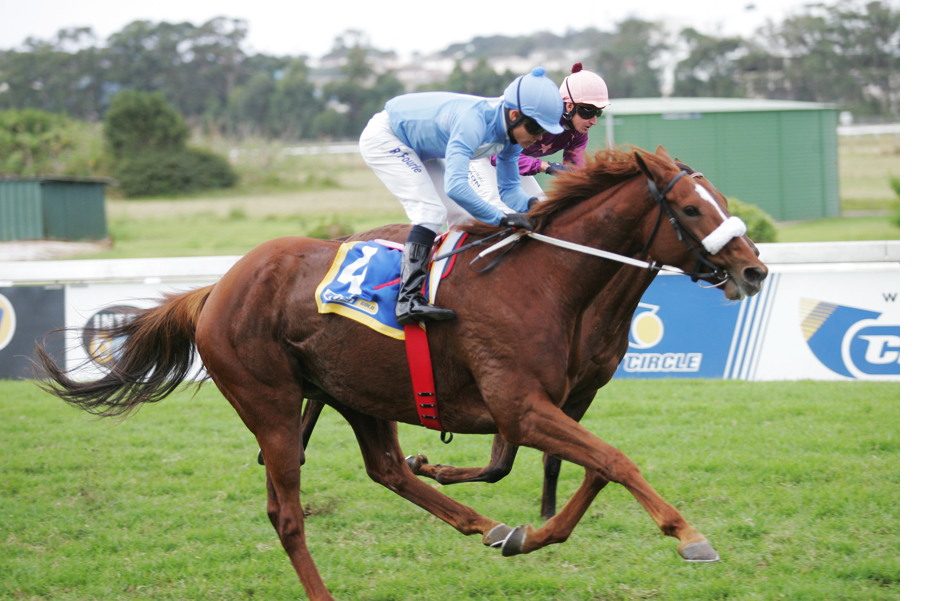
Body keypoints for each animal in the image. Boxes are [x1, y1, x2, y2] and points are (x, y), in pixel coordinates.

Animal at [36, 146, 767, 601]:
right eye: (693, 210)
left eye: (720, 198)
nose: (755, 268)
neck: (546, 278)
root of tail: (216, 289)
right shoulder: (523, 405)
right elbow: (613, 459)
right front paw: (690, 536)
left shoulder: (554, 402)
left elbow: (592, 467)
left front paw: (532, 532)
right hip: (269, 403)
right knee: (287, 514)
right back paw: (328, 585)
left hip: (357, 391)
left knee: (386, 469)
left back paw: (485, 523)